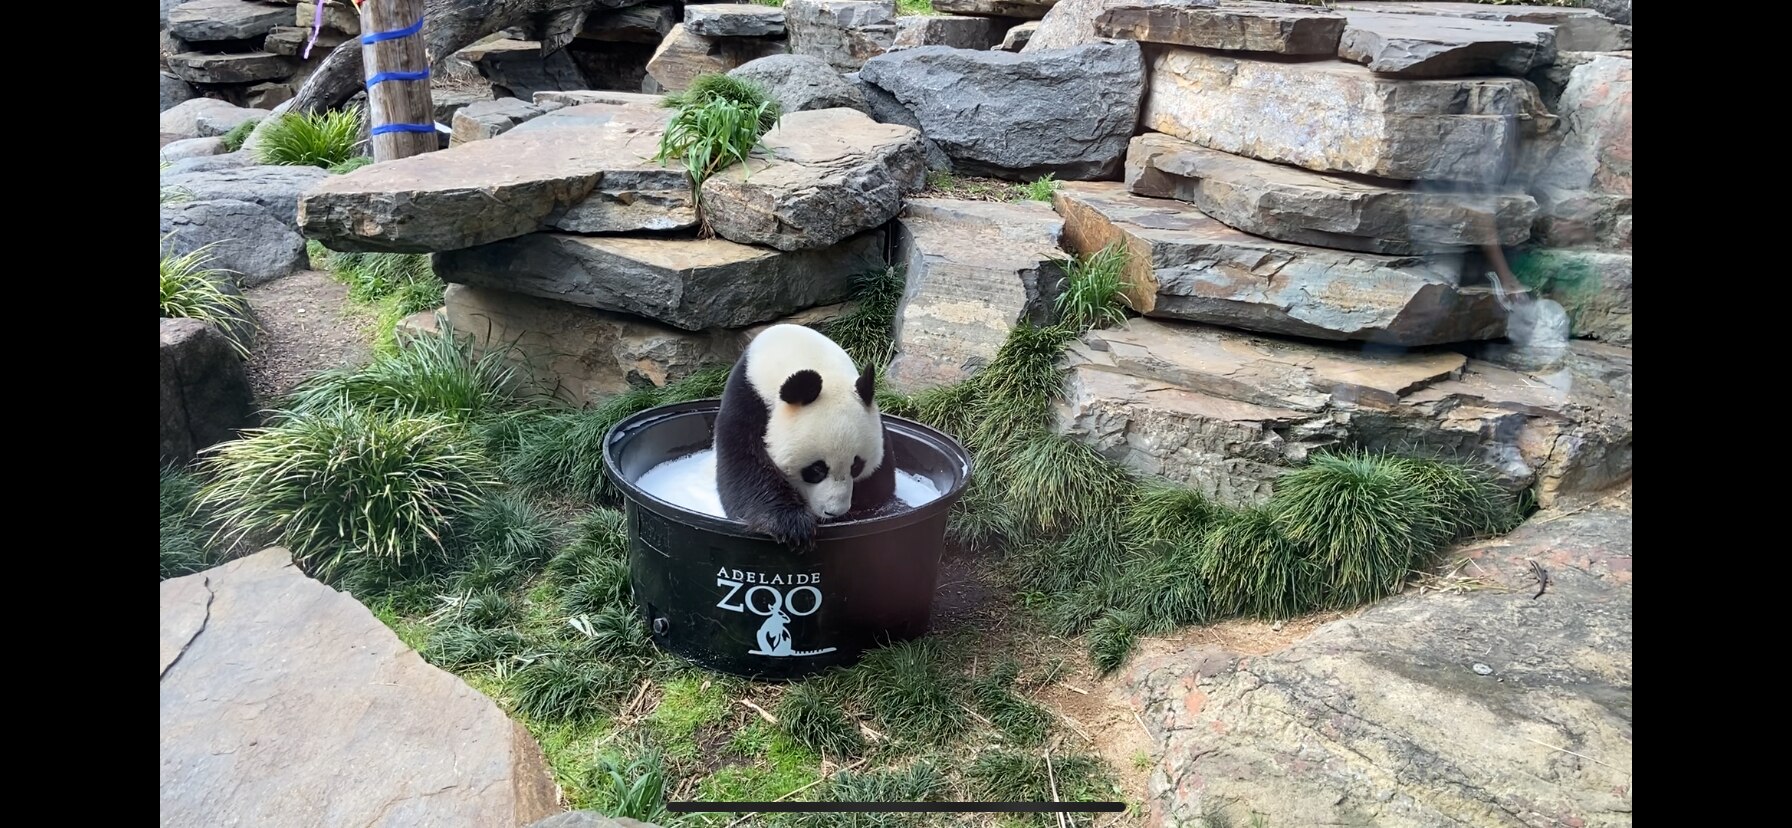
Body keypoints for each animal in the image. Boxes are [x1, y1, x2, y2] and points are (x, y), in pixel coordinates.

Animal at [713, 324, 896, 551]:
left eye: (856, 466)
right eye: (816, 469)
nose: (834, 511)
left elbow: (881, 486)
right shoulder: (746, 397)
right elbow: (745, 464)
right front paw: (791, 524)